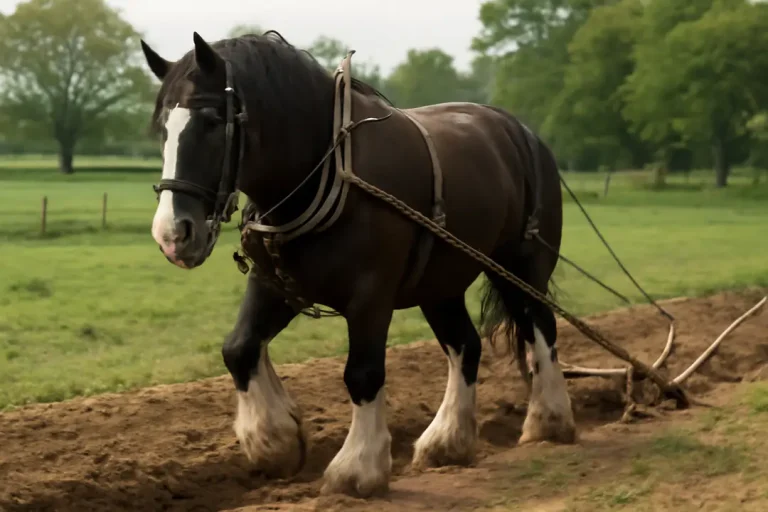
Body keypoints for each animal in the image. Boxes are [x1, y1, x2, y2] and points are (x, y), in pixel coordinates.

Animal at [140, 30, 575, 498]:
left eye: (209, 121)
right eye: (162, 127)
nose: (172, 234)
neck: (327, 173)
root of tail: (520, 130)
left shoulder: (371, 294)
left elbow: (362, 374)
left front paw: (357, 468)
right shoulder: (275, 283)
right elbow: (239, 348)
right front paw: (275, 440)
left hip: (520, 265)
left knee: (541, 328)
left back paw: (549, 420)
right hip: (440, 284)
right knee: (466, 345)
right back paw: (447, 442)